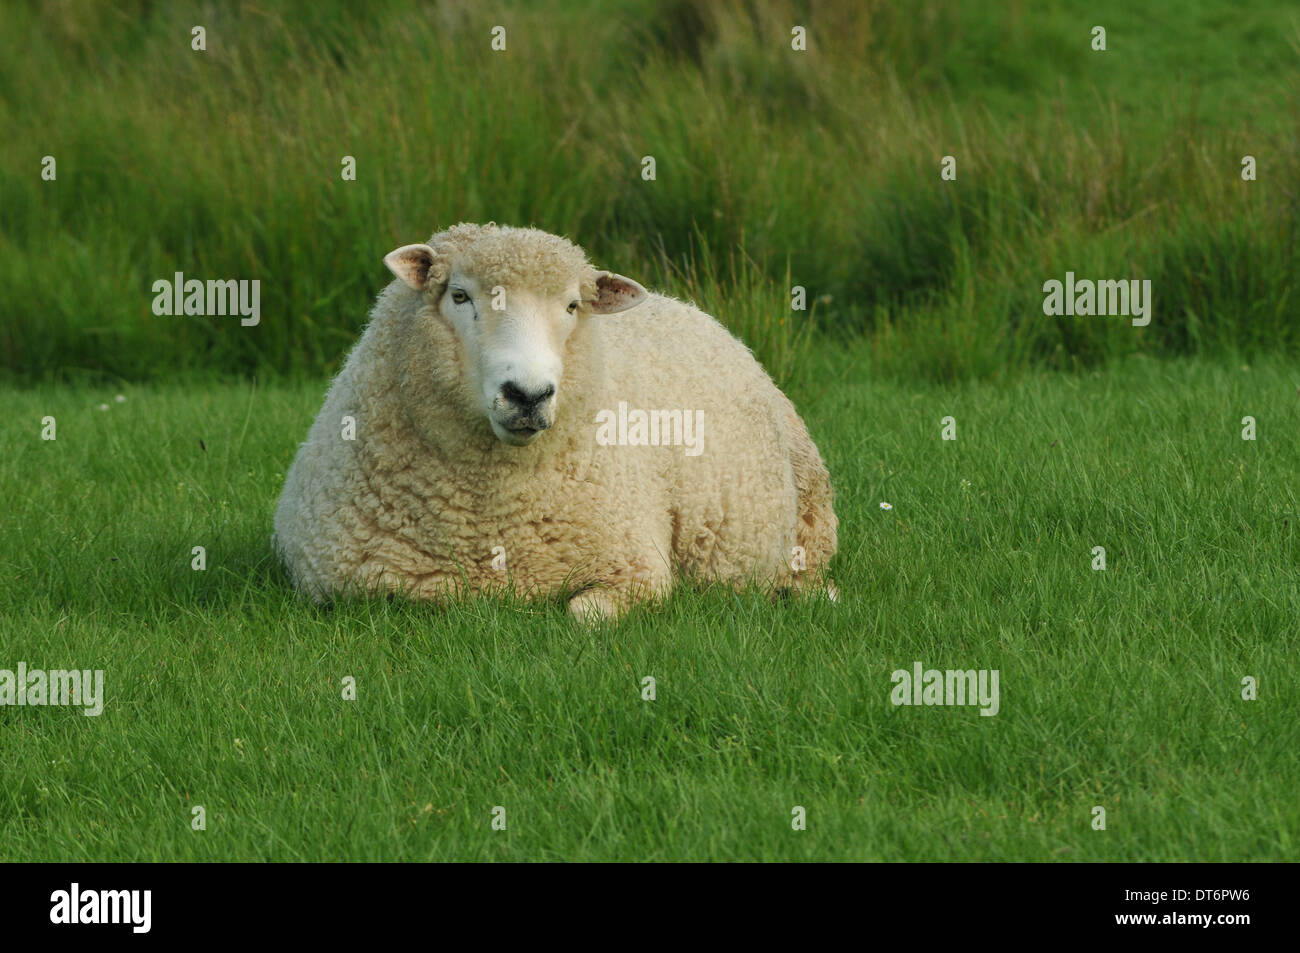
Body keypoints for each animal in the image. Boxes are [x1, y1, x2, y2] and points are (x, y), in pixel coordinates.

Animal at [272, 223, 836, 620]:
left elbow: (583, 615)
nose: (528, 395)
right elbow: (429, 594)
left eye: (571, 306)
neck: (490, 516)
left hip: (809, 505)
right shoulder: (358, 577)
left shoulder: (635, 567)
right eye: (459, 296)